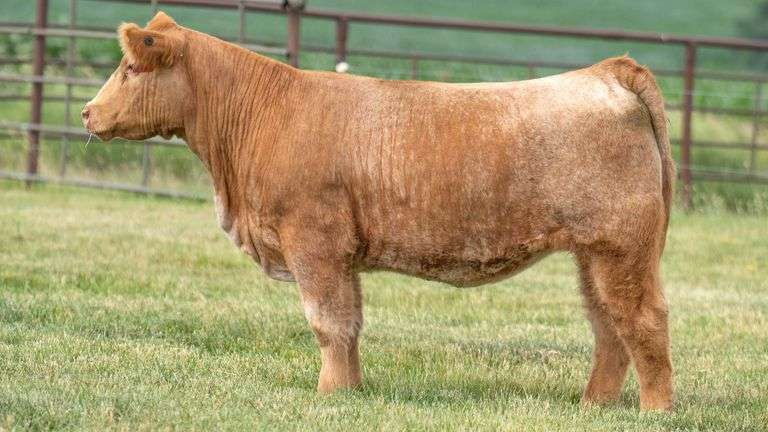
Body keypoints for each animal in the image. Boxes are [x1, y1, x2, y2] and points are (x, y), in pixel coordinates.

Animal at [83, 12, 676, 410]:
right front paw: (349, 391)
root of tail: (607, 70)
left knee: (642, 320)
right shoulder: (339, 254)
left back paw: (654, 410)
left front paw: (328, 395)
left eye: (130, 68)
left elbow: (326, 321)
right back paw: (593, 405)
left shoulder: (314, 242)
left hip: (621, 246)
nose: (88, 112)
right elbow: (348, 323)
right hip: (592, 252)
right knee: (607, 325)